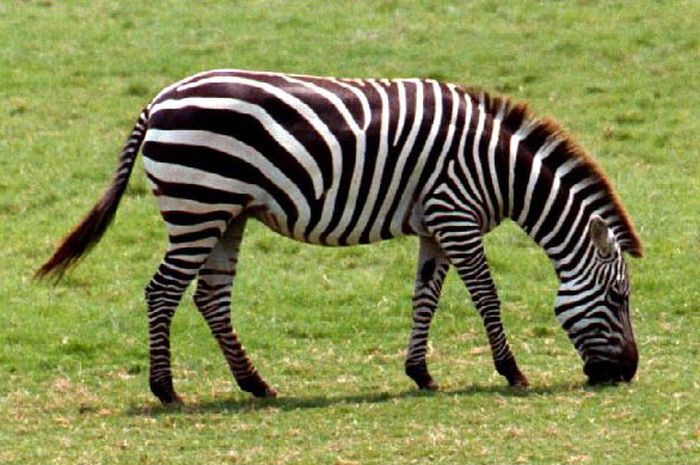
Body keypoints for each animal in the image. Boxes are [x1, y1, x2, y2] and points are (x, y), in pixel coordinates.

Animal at [36, 69, 643, 404]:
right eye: (619, 297)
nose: (626, 374)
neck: (500, 169)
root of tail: (158, 99)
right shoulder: (456, 215)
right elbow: (486, 297)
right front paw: (512, 371)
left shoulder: (436, 225)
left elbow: (425, 297)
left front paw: (420, 373)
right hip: (198, 206)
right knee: (162, 291)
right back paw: (166, 390)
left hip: (227, 214)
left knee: (210, 297)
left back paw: (254, 383)